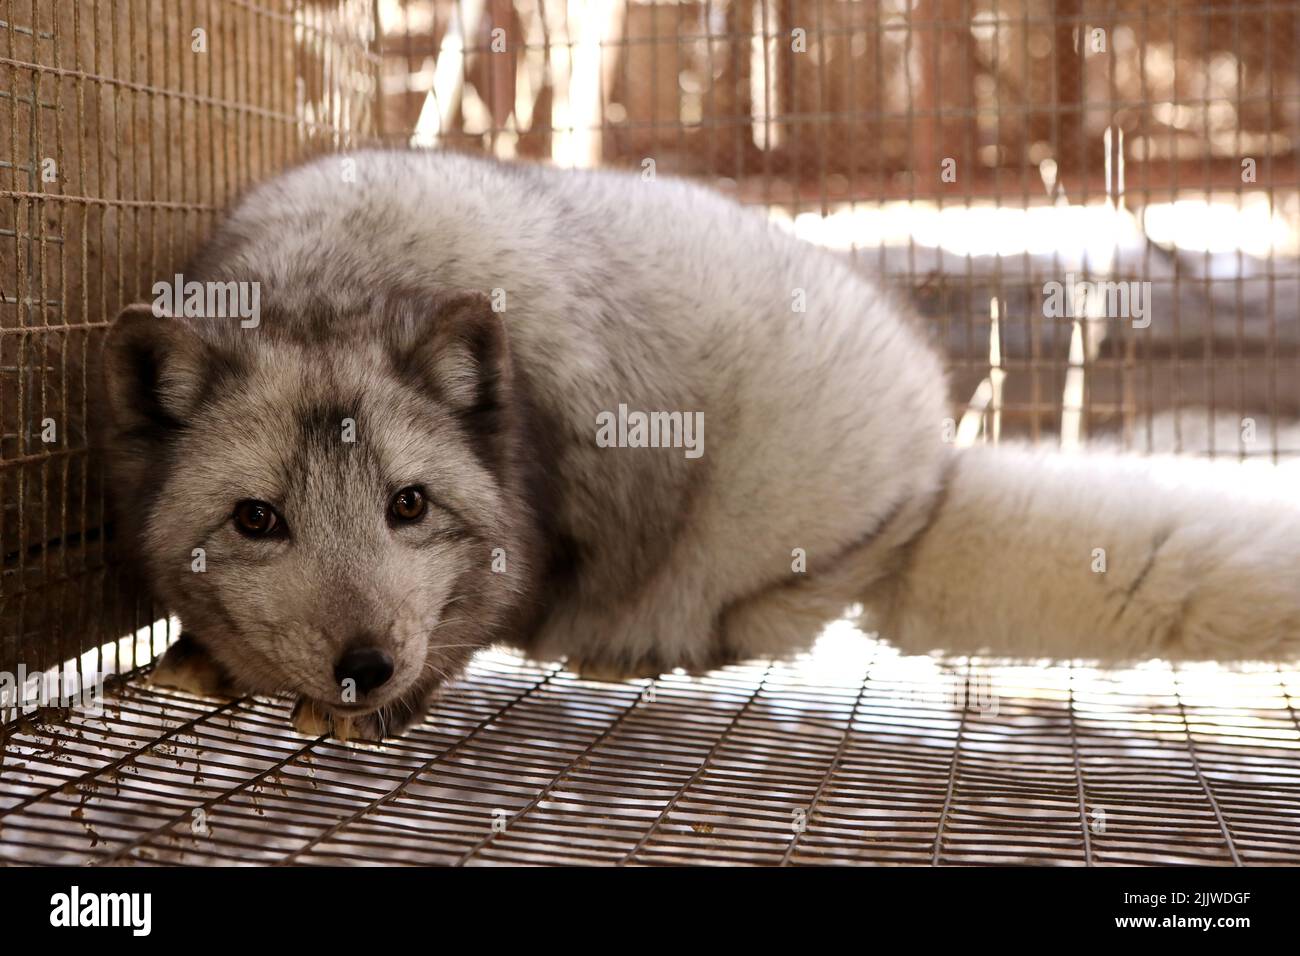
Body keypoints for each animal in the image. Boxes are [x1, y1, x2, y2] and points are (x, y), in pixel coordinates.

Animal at [102, 149, 1300, 741]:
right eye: (258, 518)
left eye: (409, 505)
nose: (364, 665)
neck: (338, 276)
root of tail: (933, 467)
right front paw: (201, 655)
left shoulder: (538, 519)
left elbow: (481, 612)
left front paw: (399, 700)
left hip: (772, 545)